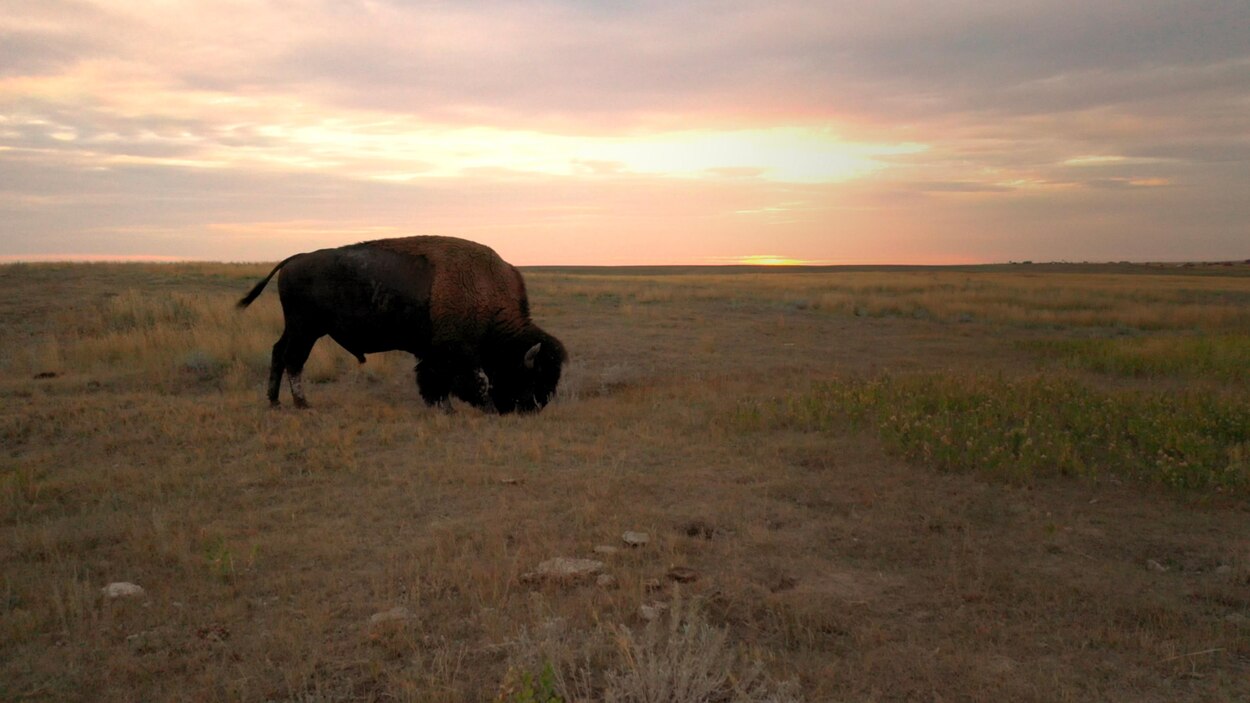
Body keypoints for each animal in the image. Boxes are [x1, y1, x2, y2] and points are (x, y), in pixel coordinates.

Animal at [236, 236, 566, 414]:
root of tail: (293, 259)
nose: (533, 407)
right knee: (293, 360)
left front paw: (443, 407)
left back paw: (275, 402)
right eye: (532, 376)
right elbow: (462, 380)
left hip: (297, 329)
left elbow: (435, 380)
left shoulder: (434, 353)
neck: (483, 289)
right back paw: (303, 404)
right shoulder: (452, 353)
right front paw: (456, 408)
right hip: (305, 330)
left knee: (279, 353)